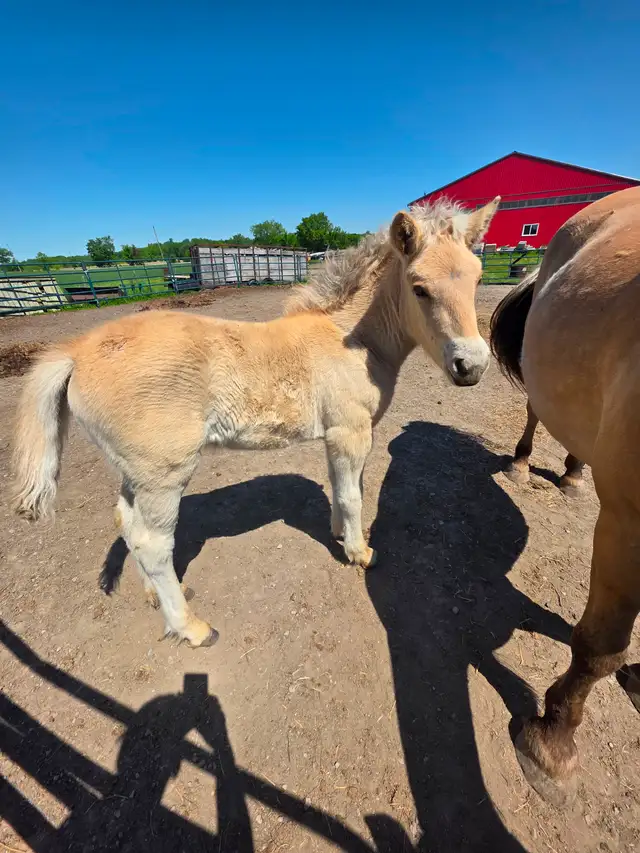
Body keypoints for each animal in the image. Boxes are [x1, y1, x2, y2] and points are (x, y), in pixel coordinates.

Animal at [13, 197, 499, 649]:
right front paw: (360, 552)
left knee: (127, 526)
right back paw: (190, 627)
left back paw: (155, 597)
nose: (471, 366)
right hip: (163, 474)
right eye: (419, 288)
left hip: (135, 473)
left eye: (478, 278)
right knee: (152, 544)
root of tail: (76, 352)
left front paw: (339, 533)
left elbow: (342, 487)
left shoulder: (336, 435)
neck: (350, 341)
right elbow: (353, 494)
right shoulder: (351, 432)